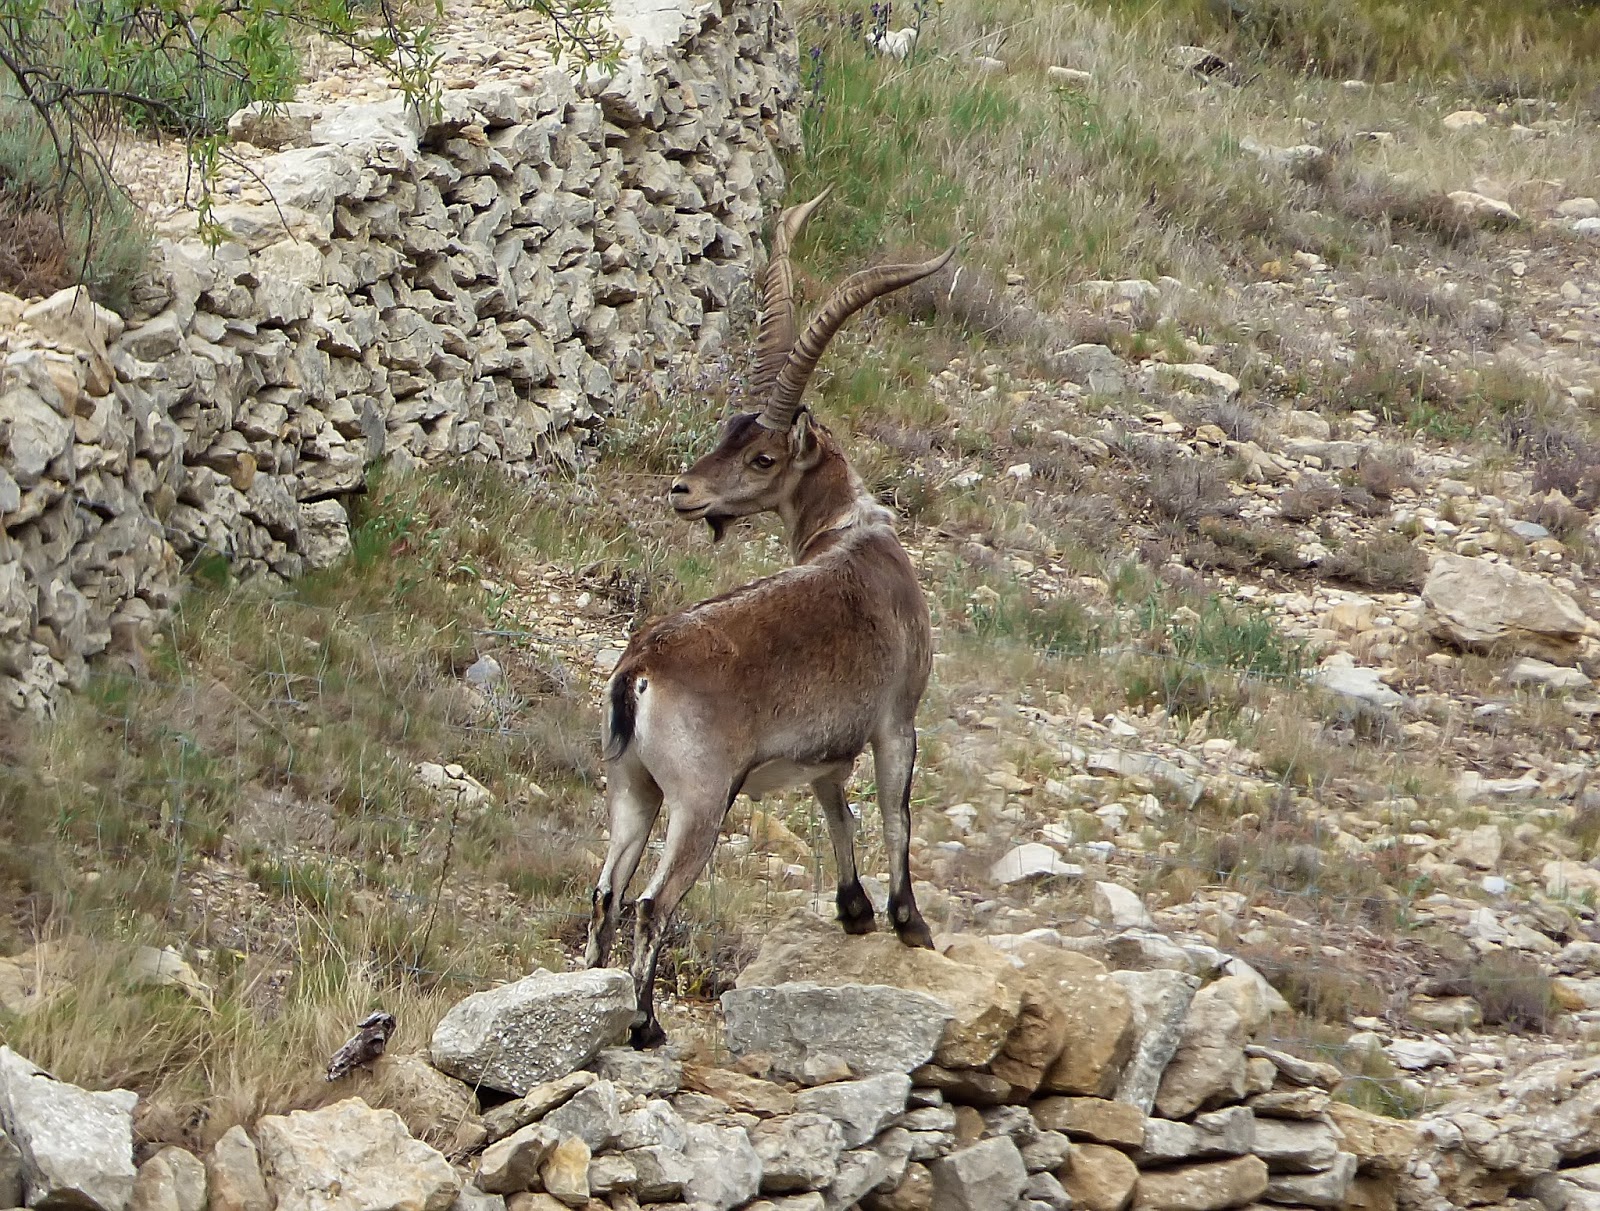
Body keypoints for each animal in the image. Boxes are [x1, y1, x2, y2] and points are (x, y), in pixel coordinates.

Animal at [585, 190, 955, 1047]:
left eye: (758, 452)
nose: (684, 491)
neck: (855, 534)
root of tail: (638, 671)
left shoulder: (825, 751)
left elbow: (837, 810)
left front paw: (854, 910)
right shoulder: (896, 718)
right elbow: (894, 812)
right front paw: (908, 921)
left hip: (633, 786)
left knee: (606, 890)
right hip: (700, 798)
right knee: (651, 902)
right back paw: (645, 1025)